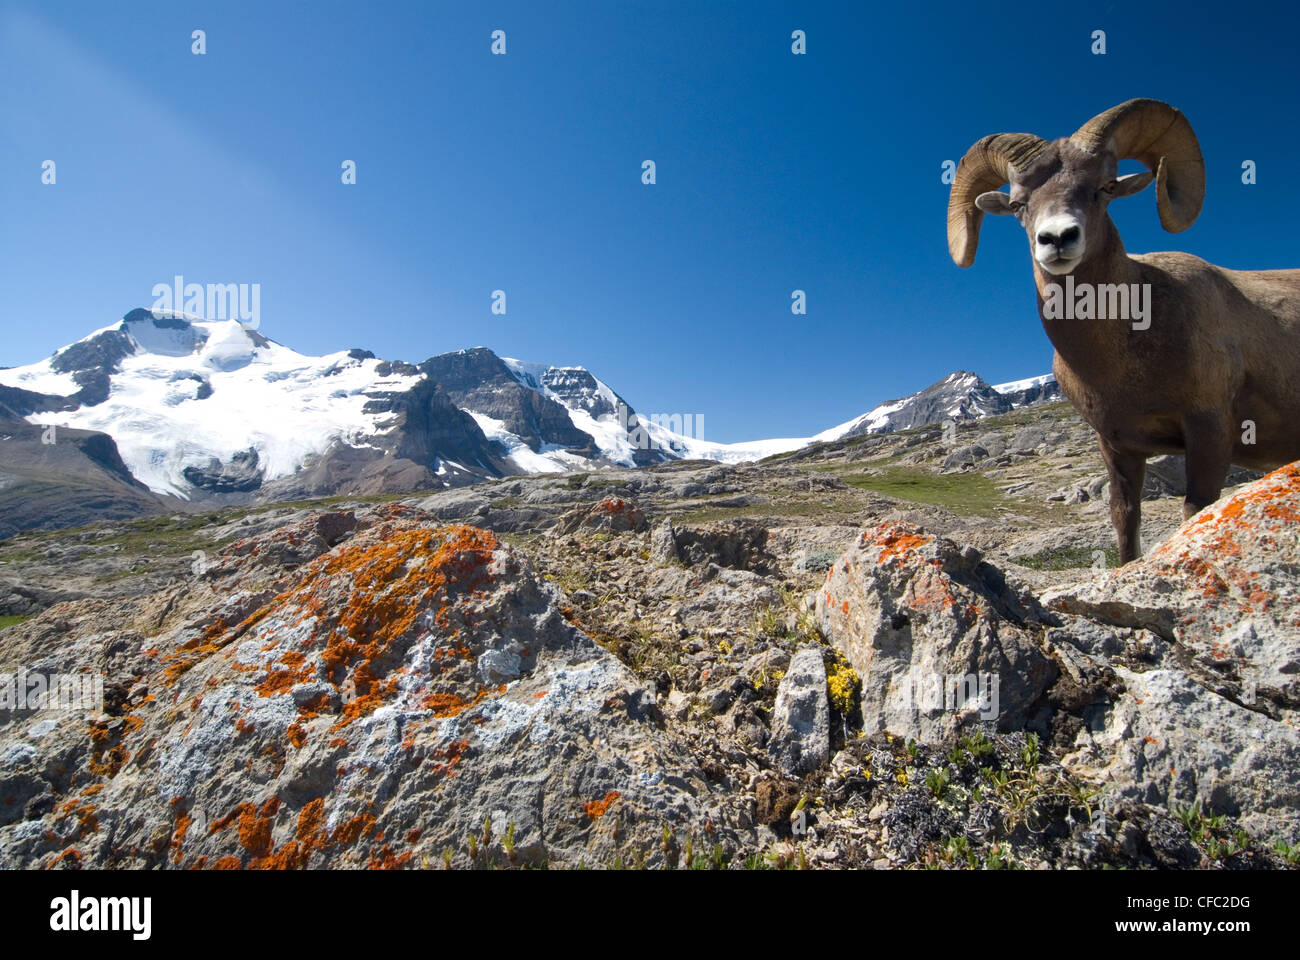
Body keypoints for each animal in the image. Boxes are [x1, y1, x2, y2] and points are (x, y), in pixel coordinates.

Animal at [947, 98, 1300, 564]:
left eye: (1106, 187)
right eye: (1020, 203)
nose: (1057, 238)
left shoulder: (1210, 429)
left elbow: (1194, 510)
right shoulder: (1117, 446)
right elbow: (1124, 519)